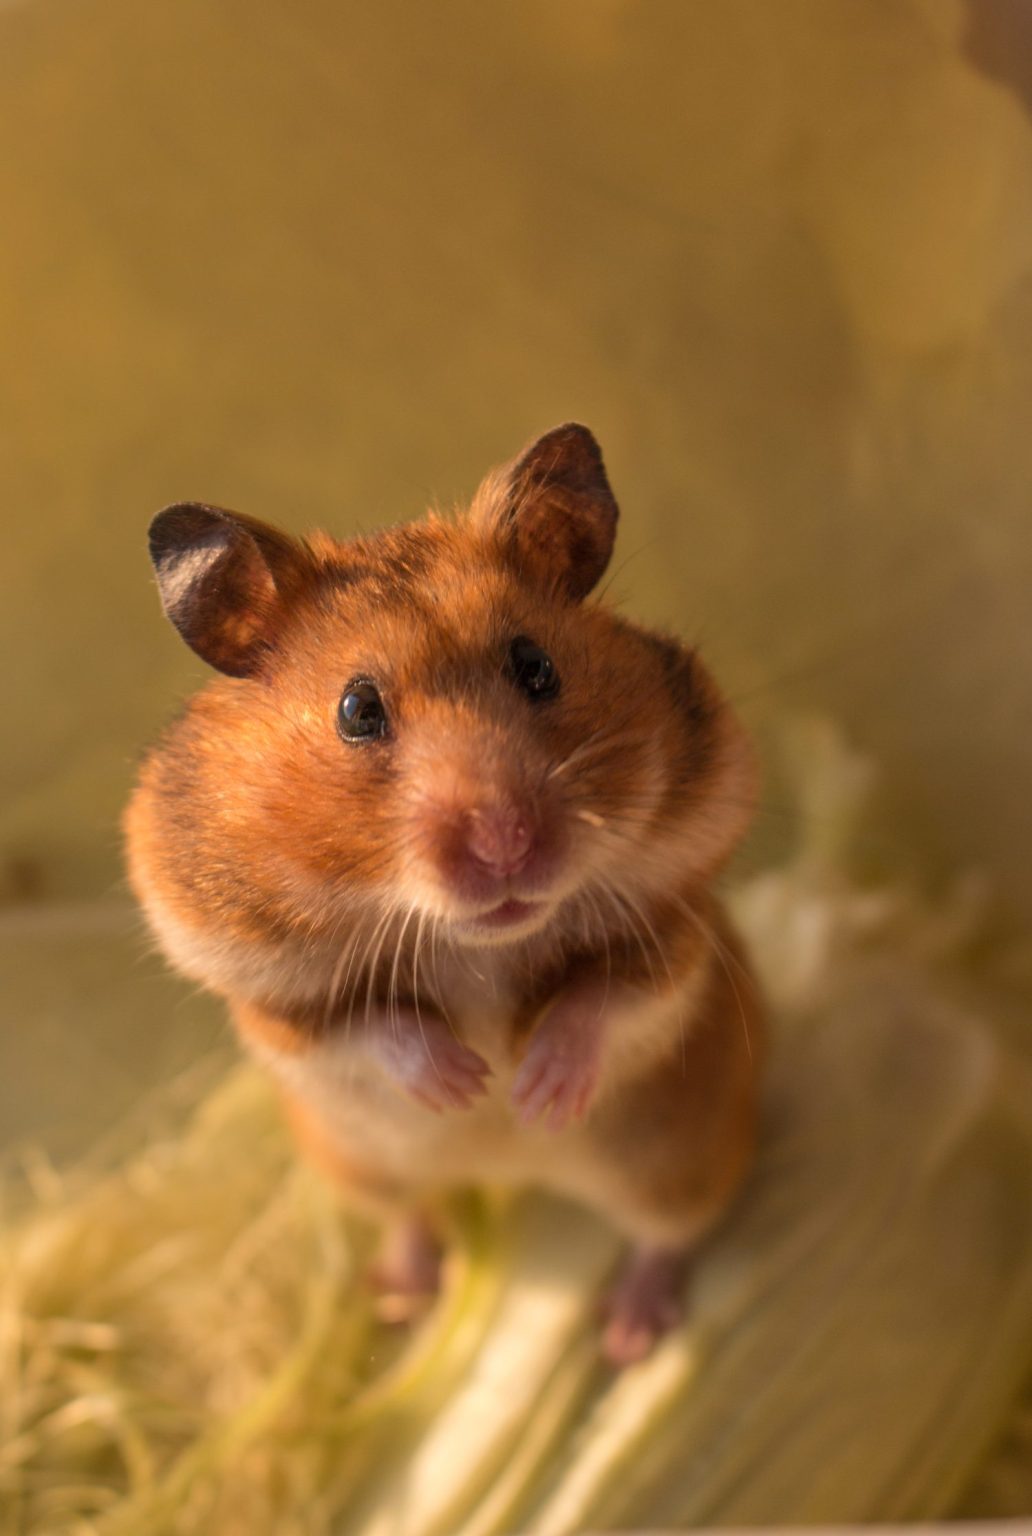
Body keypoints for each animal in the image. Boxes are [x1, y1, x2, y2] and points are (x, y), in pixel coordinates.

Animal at [125, 423, 764, 1364]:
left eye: (537, 668)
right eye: (357, 710)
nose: (506, 845)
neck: (473, 943)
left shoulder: (674, 927)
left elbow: (600, 999)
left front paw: (532, 1090)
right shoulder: (270, 1000)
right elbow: (371, 1027)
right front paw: (465, 1083)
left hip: (676, 1154)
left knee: (667, 1233)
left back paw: (629, 1334)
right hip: (361, 1166)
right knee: (413, 1216)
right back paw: (399, 1293)